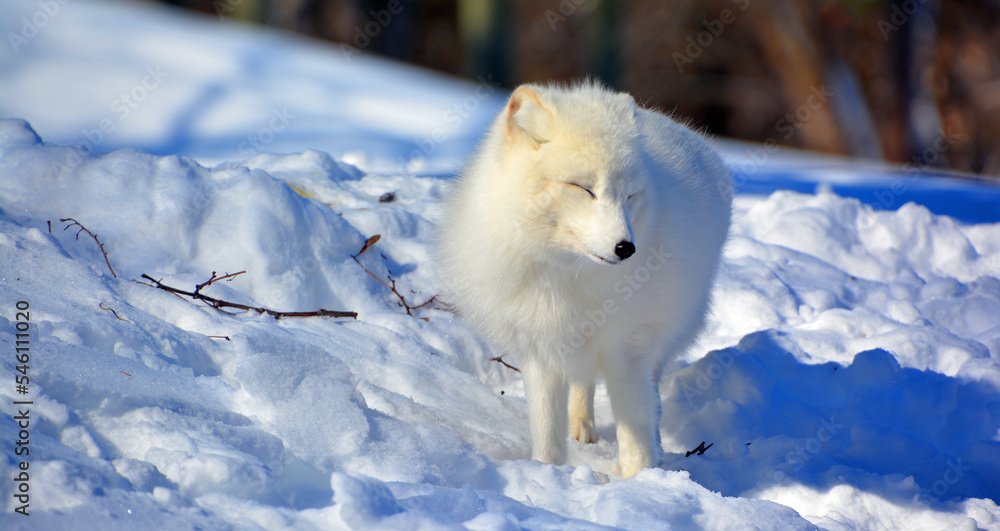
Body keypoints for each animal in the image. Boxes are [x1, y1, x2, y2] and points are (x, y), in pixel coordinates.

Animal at [437, 81, 731, 479]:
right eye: (584, 188)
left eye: (629, 196)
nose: (627, 248)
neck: (568, 276)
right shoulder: (540, 348)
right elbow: (546, 430)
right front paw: (546, 472)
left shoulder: (629, 351)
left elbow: (636, 429)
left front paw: (641, 479)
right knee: (583, 382)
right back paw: (580, 427)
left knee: (649, 394)